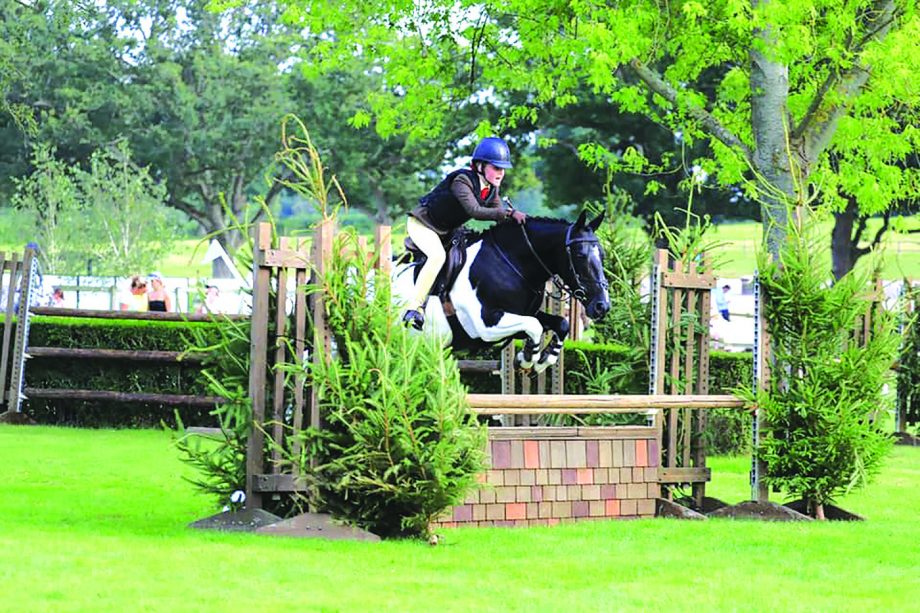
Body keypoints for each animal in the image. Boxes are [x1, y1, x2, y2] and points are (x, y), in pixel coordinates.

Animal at [392, 210, 610, 373]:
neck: (510, 264)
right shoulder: (486, 326)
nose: (603, 306)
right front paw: (526, 358)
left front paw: (542, 360)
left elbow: (560, 324)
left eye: (602, 254)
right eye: (580, 255)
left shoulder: (525, 314)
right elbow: (535, 326)